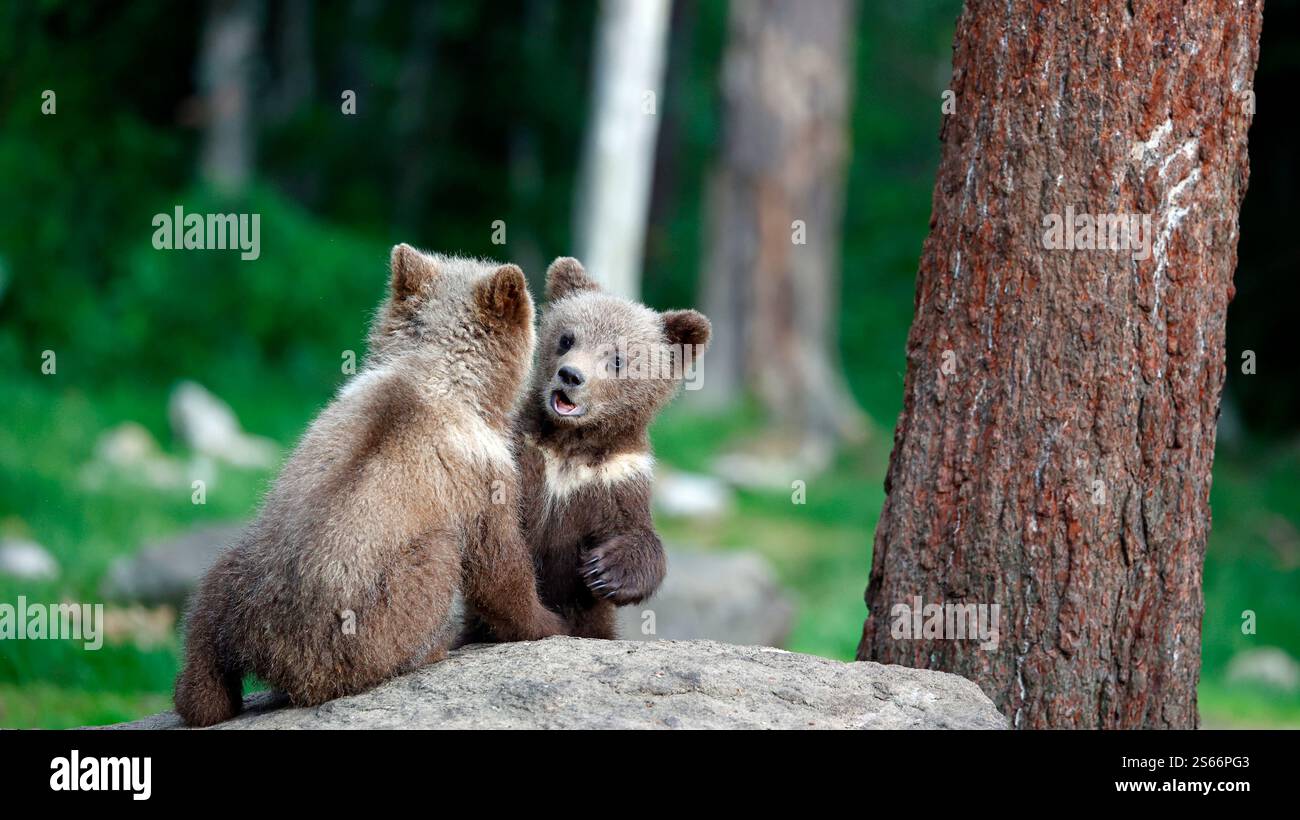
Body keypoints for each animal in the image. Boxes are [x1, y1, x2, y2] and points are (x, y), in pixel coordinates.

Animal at [174, 245, 567, 727]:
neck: (437, 372)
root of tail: (263, 642)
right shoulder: (482, 474)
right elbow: (499, 562)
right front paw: (548, 622)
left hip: (233, 576)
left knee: (203, 649)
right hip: (364, 621)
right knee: (433, 568)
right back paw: (431, 647)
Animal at [463, 256, 710, 641]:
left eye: (619, 358)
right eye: (567, 338)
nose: (570, 375)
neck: (570, 446)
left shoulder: (614, 479)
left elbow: (639, 536)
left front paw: (604, 570)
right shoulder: (524, 458)